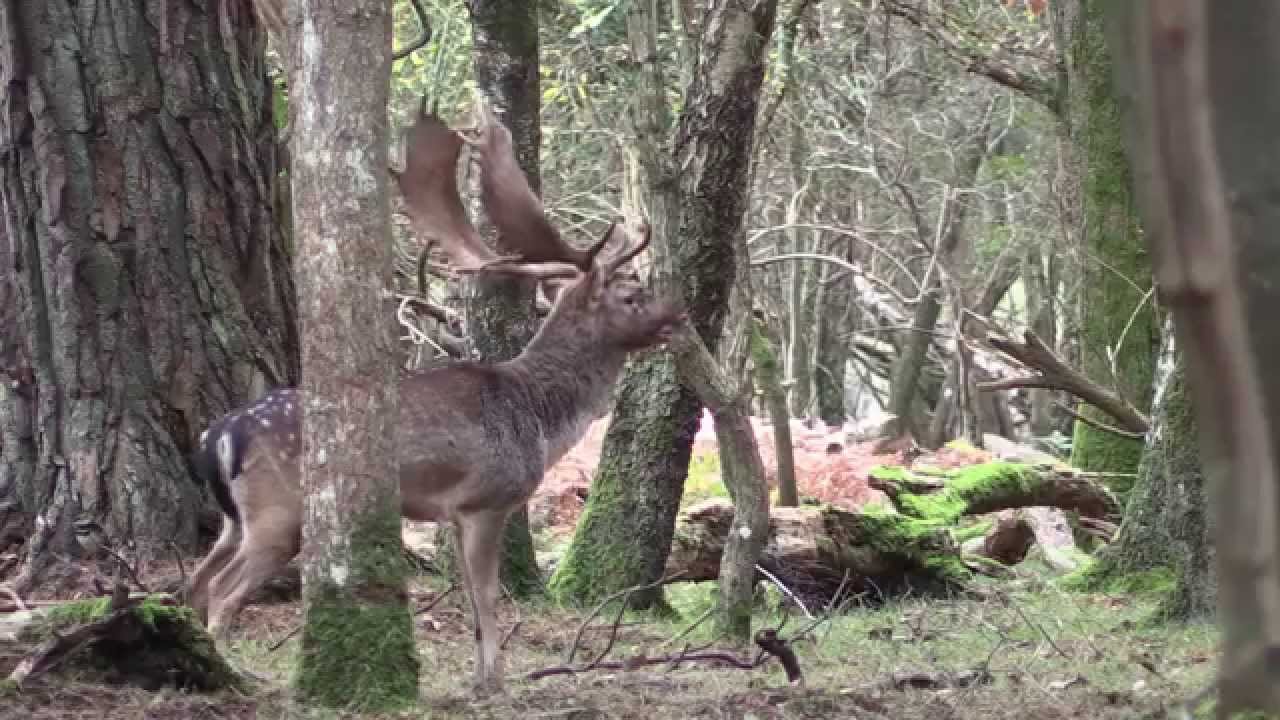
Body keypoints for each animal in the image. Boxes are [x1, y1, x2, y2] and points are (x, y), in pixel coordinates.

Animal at [184, 99, 684, 693]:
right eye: (631, 294)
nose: (679, 312)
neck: (539, 419)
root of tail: (220, 433)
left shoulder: (455, 514)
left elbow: (470, 599)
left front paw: (479, 675)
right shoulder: (485, 498)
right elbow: (488, 596)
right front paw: (494, 682)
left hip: (235, 518)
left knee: (195, 582)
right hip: (278, 511)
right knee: (221, 592)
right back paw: (233, 672)